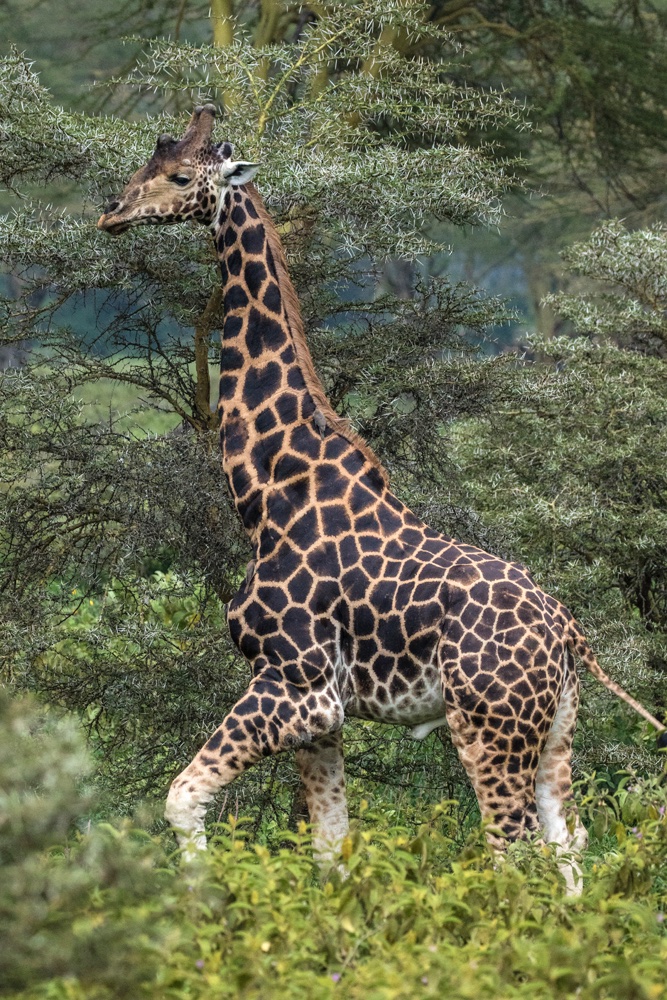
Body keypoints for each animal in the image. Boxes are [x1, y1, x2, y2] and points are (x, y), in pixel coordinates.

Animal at [98, 105, 667, 893]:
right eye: (144, 167)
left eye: (180, 177)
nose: (113, 212)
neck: (266, 494)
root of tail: (568, 634)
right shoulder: (324, 717)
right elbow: (330, 848)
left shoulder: (295, 682)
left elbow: (182, 798)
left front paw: (201, 907)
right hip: (555, 731)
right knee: (568, 846)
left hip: (487, 728)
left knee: (513, 850)